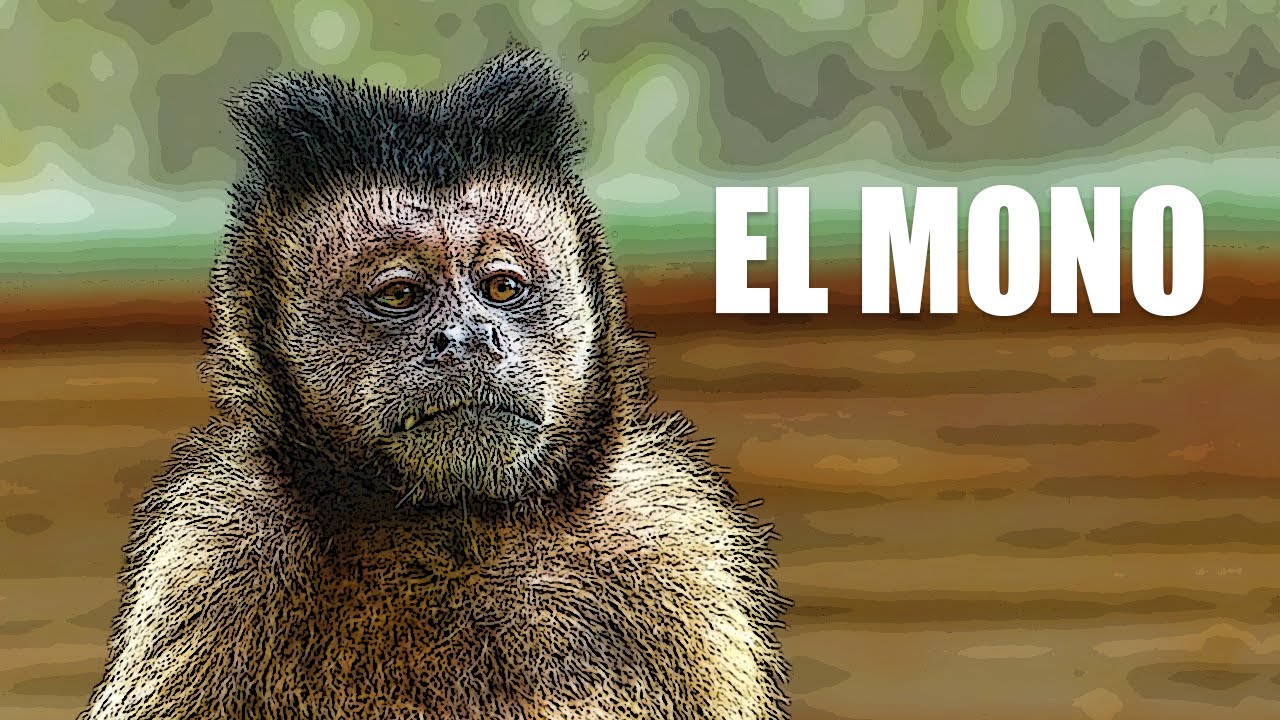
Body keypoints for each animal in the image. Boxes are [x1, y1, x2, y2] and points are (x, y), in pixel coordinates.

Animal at [82, 47, 789, 720]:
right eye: (400, 295)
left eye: (501, 287)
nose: (471, 337)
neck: (459, 537)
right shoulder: (221, 564)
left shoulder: (671, 561)